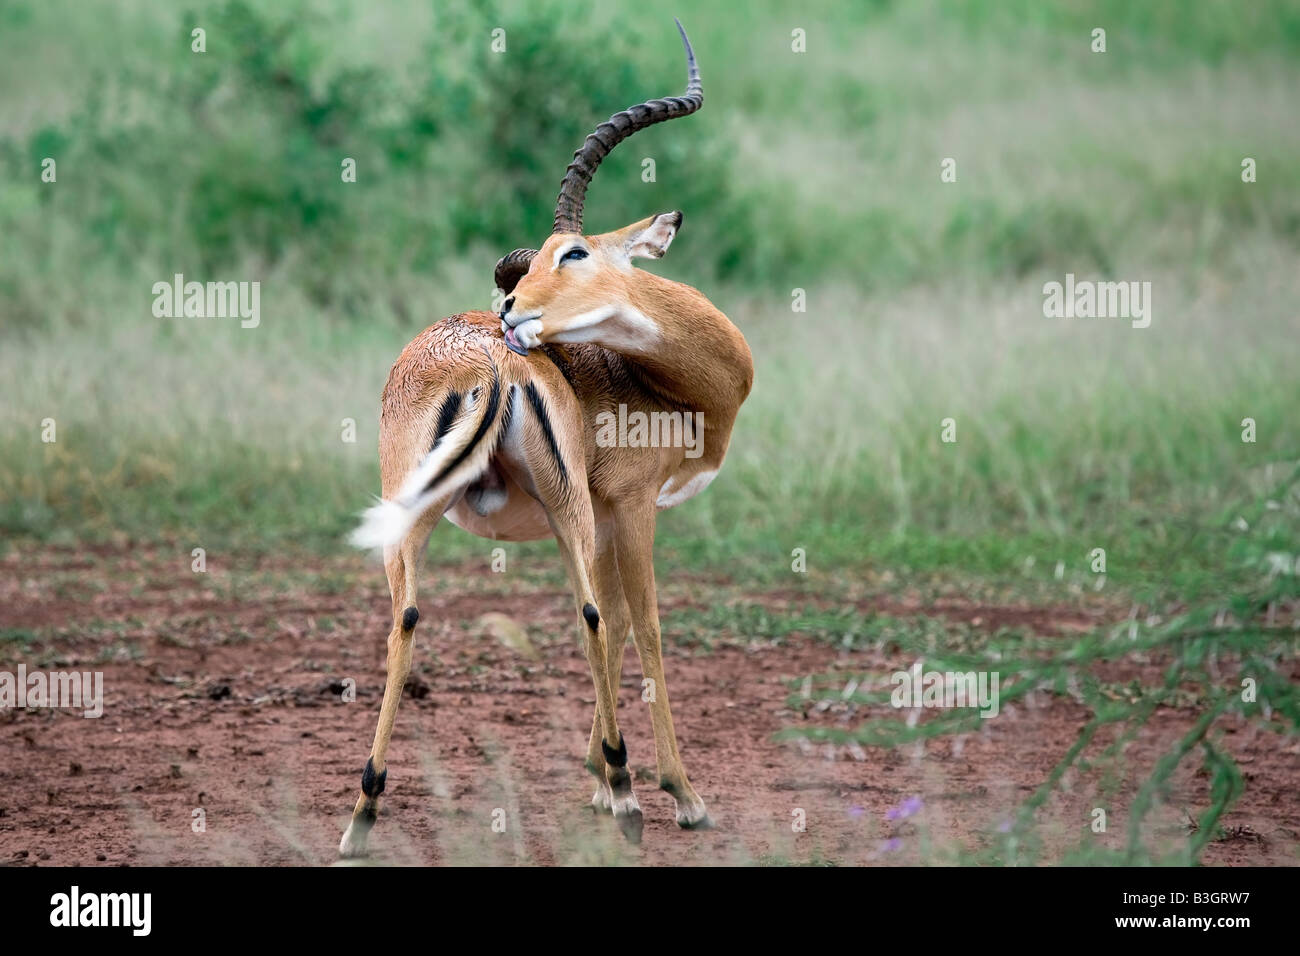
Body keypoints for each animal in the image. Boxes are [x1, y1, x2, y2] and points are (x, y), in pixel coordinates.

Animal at [339, 19, 752, 856]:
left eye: (575, 251)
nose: (509, 308)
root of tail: (489, 365)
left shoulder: (609, 515)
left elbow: (618, 625)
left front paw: (598, 776)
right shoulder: (629, 506)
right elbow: (643, 626)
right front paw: (673, 792)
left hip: (416, 512)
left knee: (408, 616)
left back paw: (363, 814)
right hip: (565, 511)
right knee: (590, 614)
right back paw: (633, 800)